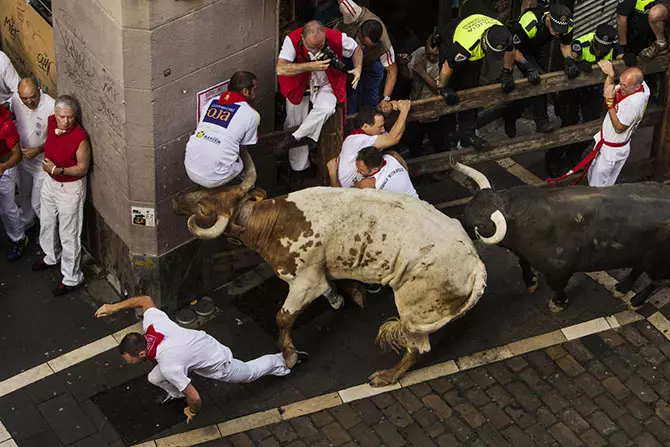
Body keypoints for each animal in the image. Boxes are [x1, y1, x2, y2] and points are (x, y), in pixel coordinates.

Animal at [173, 150, 488, 384]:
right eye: (217, 189)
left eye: (203, 209)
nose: (176, 199)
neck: (276, 223)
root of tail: (475, 262)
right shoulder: (316, 276)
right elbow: (328, 288)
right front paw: (340, 298)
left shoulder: (303, 281)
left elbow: (283, 317)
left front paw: (289, 355)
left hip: (416, 308)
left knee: (418, 347)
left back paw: (385, 376)